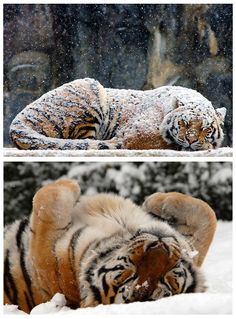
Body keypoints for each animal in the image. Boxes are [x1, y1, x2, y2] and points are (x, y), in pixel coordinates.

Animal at [9, 78, 227, 151]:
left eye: (206, 128)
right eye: (183, 123)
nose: (191, 140)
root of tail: (18, 120)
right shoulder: (136, 134)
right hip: (90, 90)